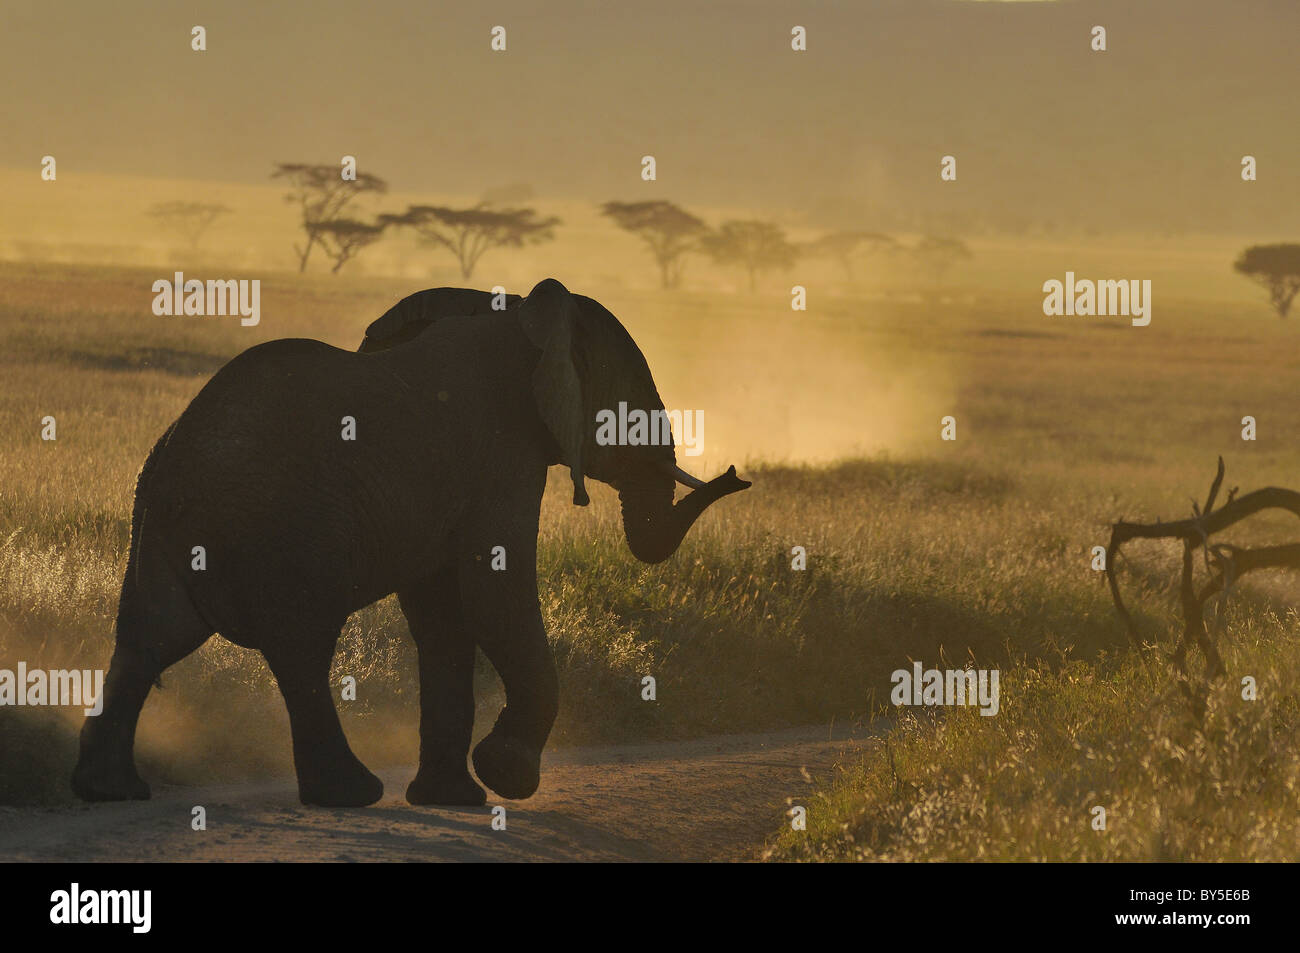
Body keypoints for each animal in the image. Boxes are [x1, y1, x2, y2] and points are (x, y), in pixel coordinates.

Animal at [71, 278, 751, 808]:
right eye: (633, 401)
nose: (736, 475)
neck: (520, 315)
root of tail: (176, 457)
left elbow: (443, 616)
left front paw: (454, 799)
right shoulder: (502, 453)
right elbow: (495, 595)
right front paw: (505, 774)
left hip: (157, 525)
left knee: (150, 638)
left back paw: (108, 791)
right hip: (284, 534)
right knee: (300, 649)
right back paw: (350, 795)